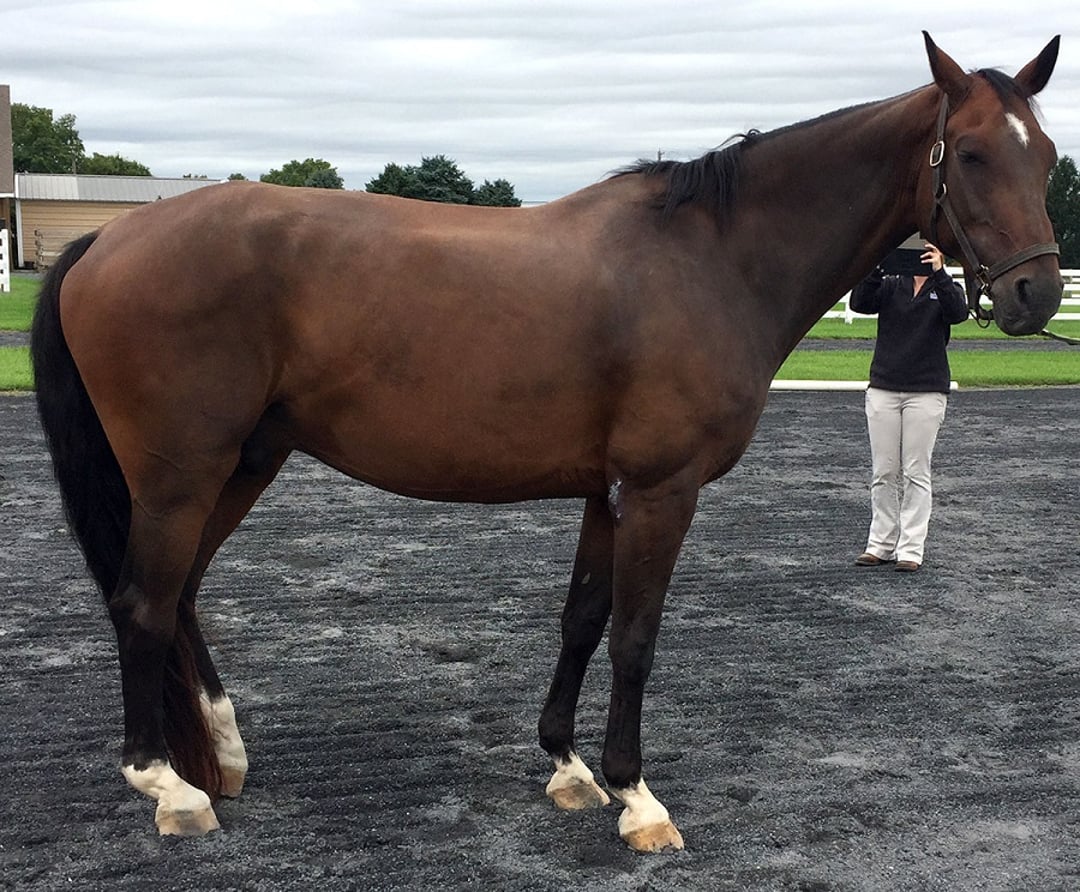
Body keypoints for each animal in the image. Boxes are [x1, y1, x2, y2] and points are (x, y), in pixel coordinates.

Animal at [30, 33, 1062, 852]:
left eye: (1049, 154)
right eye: (971, 153)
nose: (1035, 295)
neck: (713, 259)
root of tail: (107, 238)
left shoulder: (607, 491)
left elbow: (582, 619)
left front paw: (569, 769)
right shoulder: (662, 489)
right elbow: (637, 636)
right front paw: (639, 799)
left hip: (239, 464)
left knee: (178, 596)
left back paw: (221, 753)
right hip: (182, 475)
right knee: (143, 603)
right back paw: (168, 786)